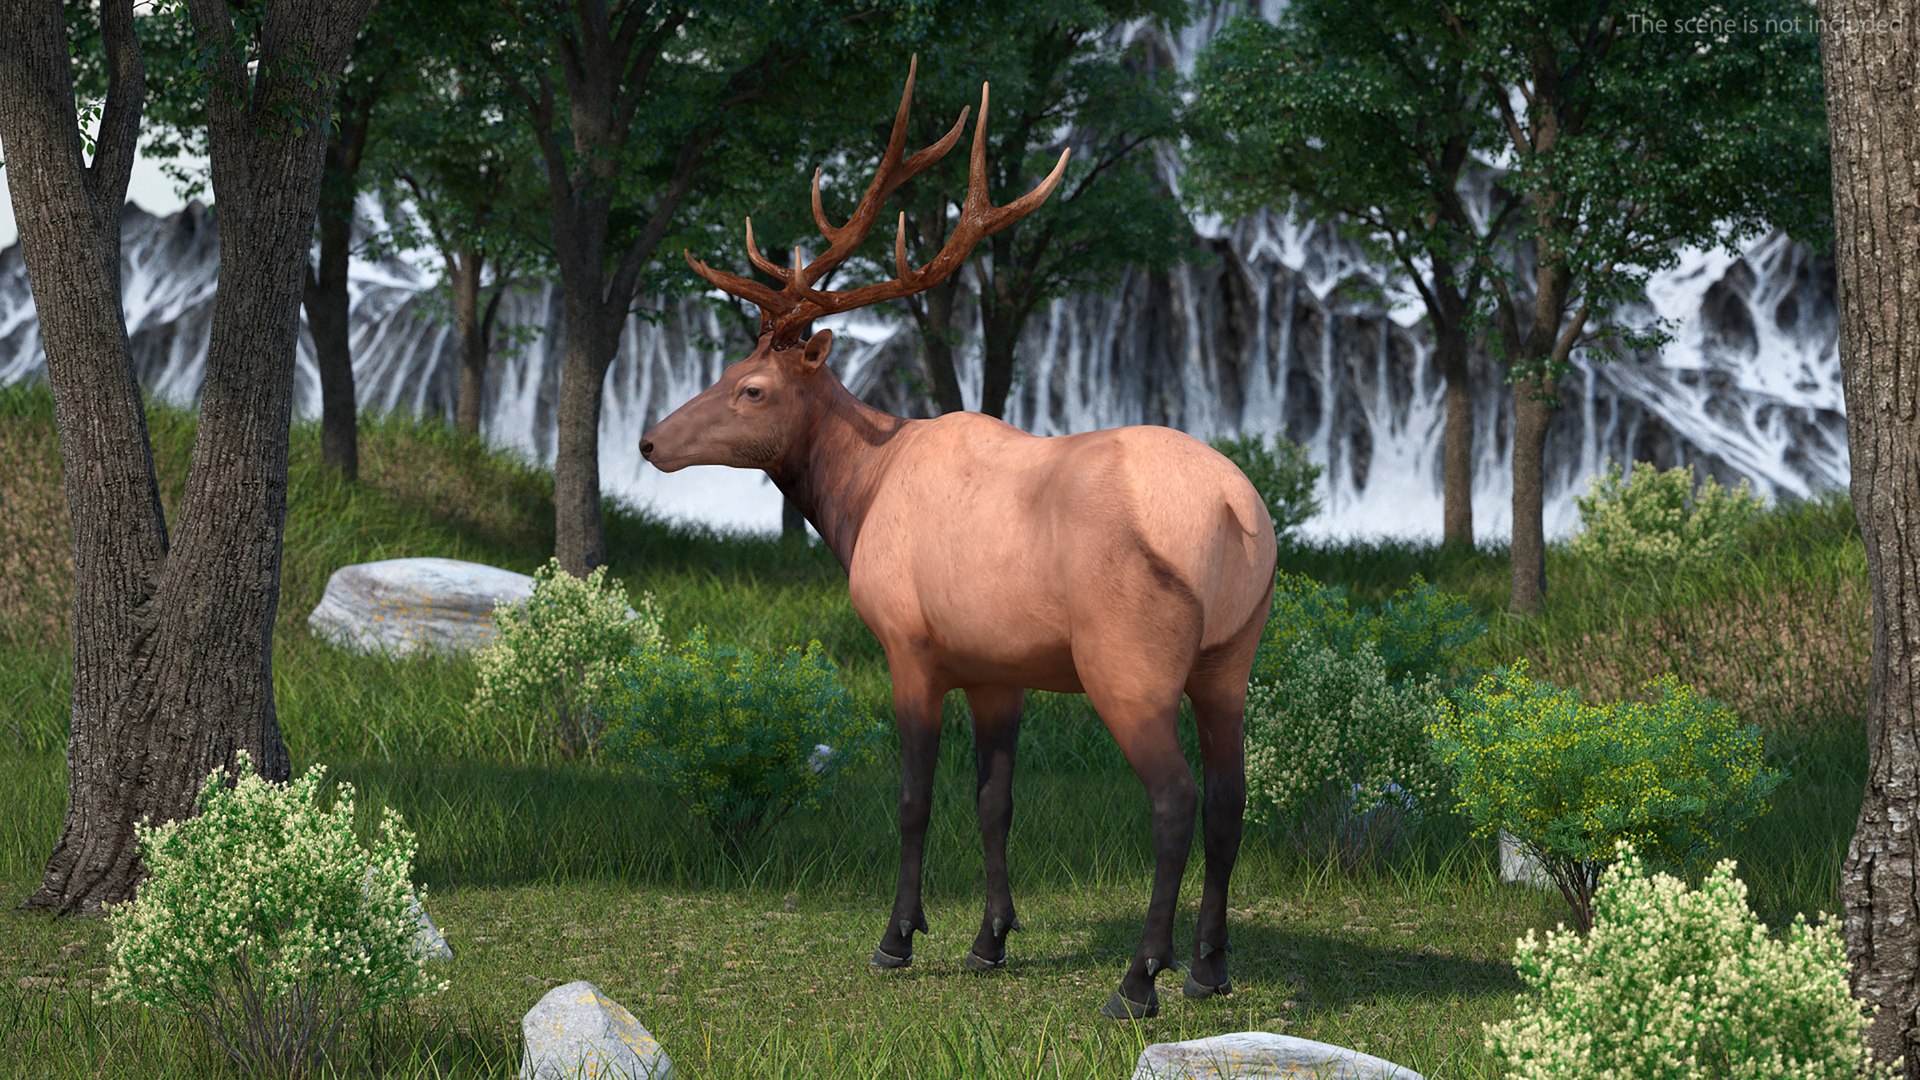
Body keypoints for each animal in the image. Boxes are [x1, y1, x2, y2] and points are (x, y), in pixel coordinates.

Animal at [639, 60, 1277, 1020]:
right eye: (724, 369)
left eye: (752, 388)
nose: (648, 441)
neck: (856, 499)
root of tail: (1238, 516)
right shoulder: (996, 666)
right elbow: (993, 801)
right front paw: (990, 941)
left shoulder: (909, 641)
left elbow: (913, 796)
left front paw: (898, 939)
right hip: (1231, 657)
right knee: (1232, 799)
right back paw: (1210, 967)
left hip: (1129, 660)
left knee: (1174, 800)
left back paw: (1140, 980)